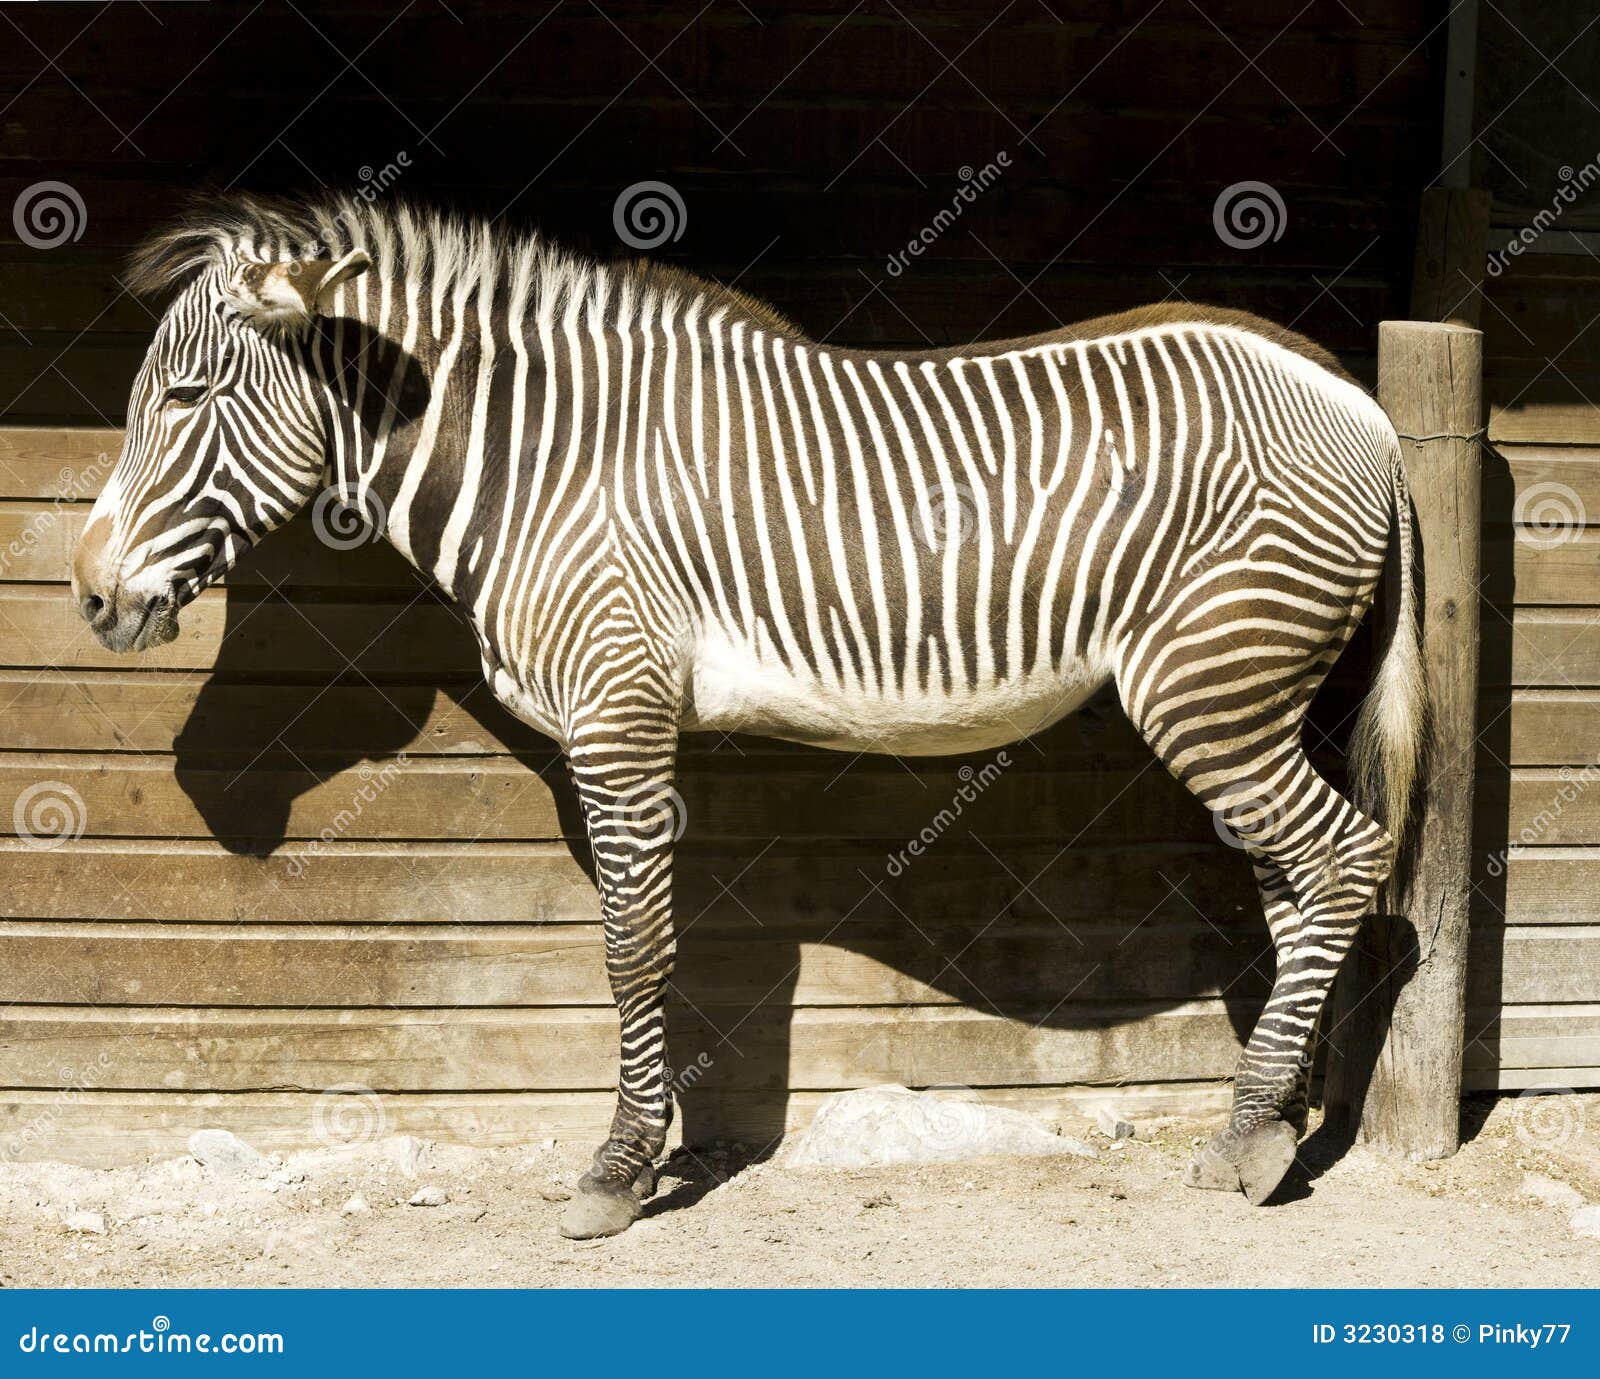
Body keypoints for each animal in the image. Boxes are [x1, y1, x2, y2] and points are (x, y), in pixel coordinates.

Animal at [72, 194, 1423, 1240]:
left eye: (182, 394)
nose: (88, 595)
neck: (540, 464)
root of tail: (1350, 393)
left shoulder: (618, 708)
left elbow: (634, 947)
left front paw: (617, 1172)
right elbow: (660, 944)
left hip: (1212, 680)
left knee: (1342, 856)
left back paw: (1249, 1143)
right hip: (1252, 695)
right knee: (1300, 884)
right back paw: (1269, 1122)